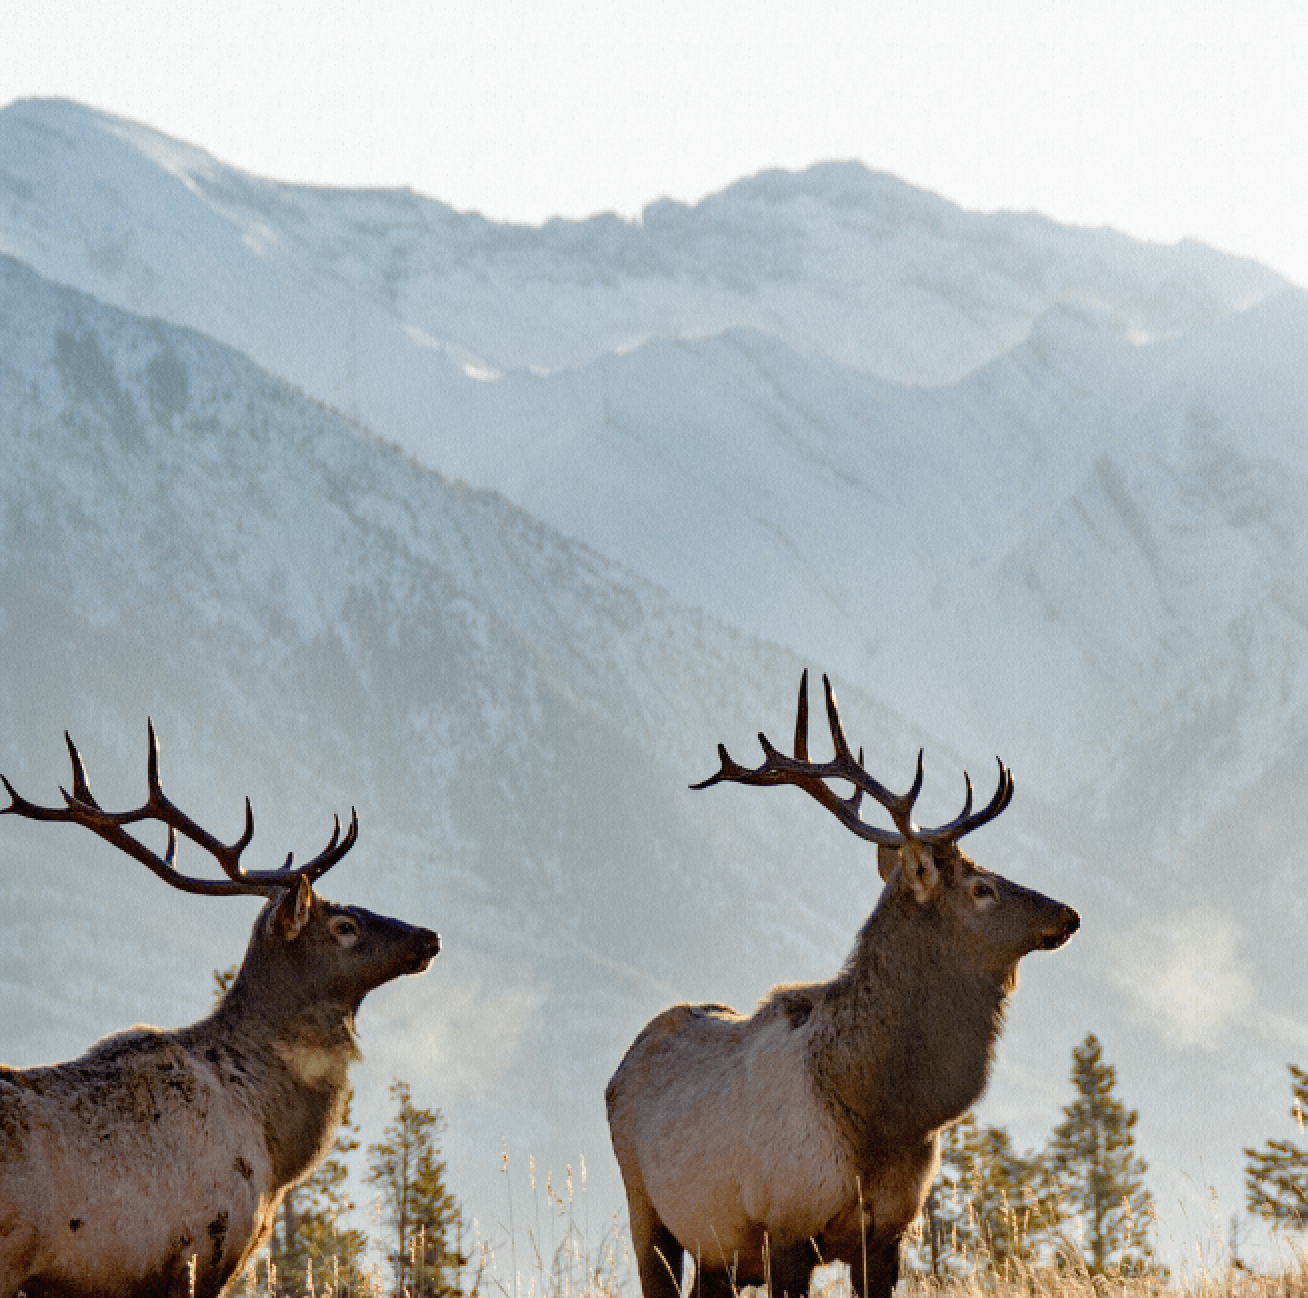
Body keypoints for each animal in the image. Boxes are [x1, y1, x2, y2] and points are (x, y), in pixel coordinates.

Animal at [606, 671, 1079, 1298]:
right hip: (647, 1212)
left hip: (715, 1252)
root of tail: (618, 1070)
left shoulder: (887, 1233)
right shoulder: (785, 1225)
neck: (880, 1115)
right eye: (982, 888)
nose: (1069, 914)